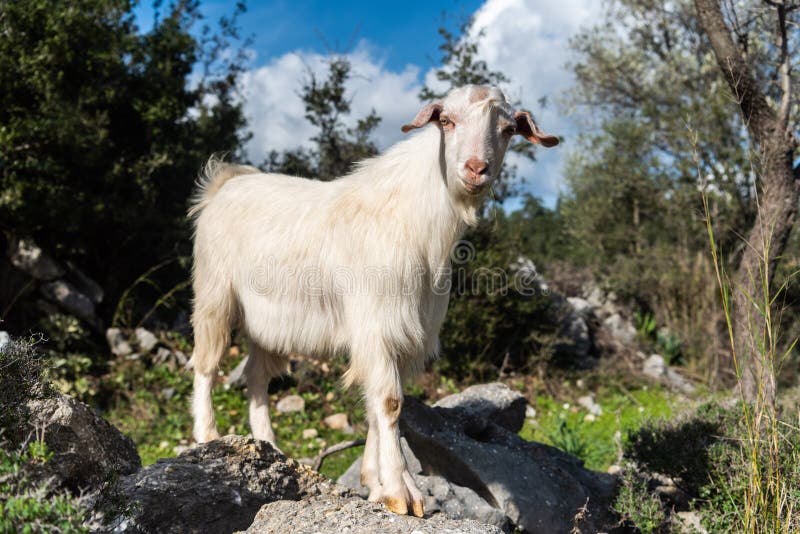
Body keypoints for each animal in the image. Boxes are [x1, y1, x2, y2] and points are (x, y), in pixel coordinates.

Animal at [189, 85, 558, 517]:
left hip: (268, 324)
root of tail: (225, 184)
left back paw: (270, 446)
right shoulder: (376, 324)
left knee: (257, 376)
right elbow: (389, 402)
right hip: (213, 292)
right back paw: (207, 435)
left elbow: (377, 404)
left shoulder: (406, 334)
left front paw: (375, 483)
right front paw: (401, 490)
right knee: (206, 363)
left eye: (508, 129)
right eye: (447, 121)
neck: (417, 227)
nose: (476, 168)